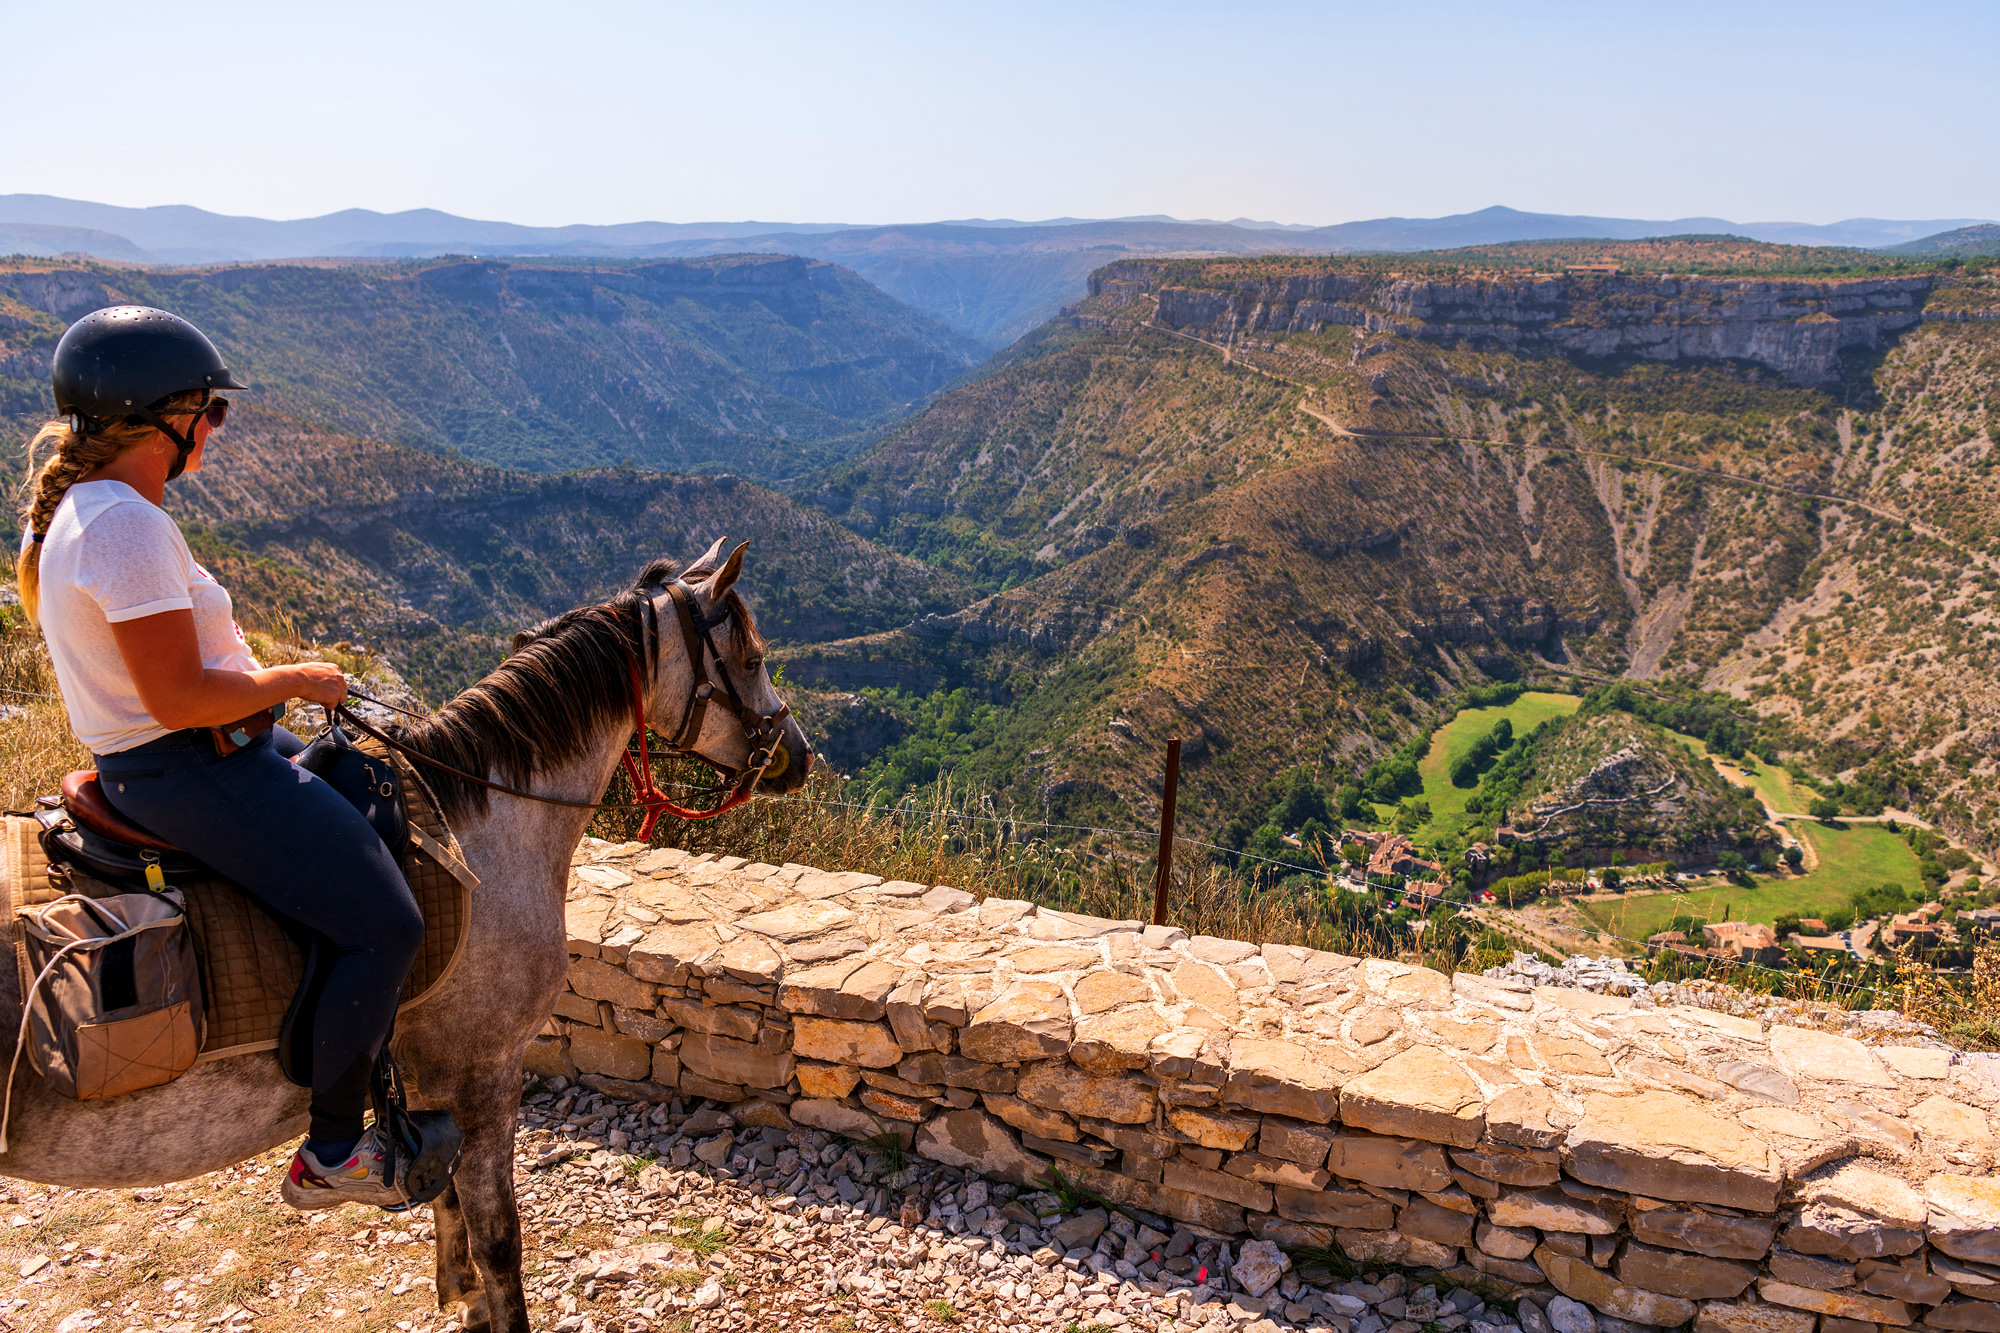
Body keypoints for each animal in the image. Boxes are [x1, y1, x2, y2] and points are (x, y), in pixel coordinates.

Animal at [0, 538, 812, 1332]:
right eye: (750, 657)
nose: (797, 755)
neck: (481, 825)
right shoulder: (484, 1069)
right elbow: (499, 1239)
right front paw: (491, 1303)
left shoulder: (428, 1066)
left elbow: (447, 1198)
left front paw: (463, 1298)